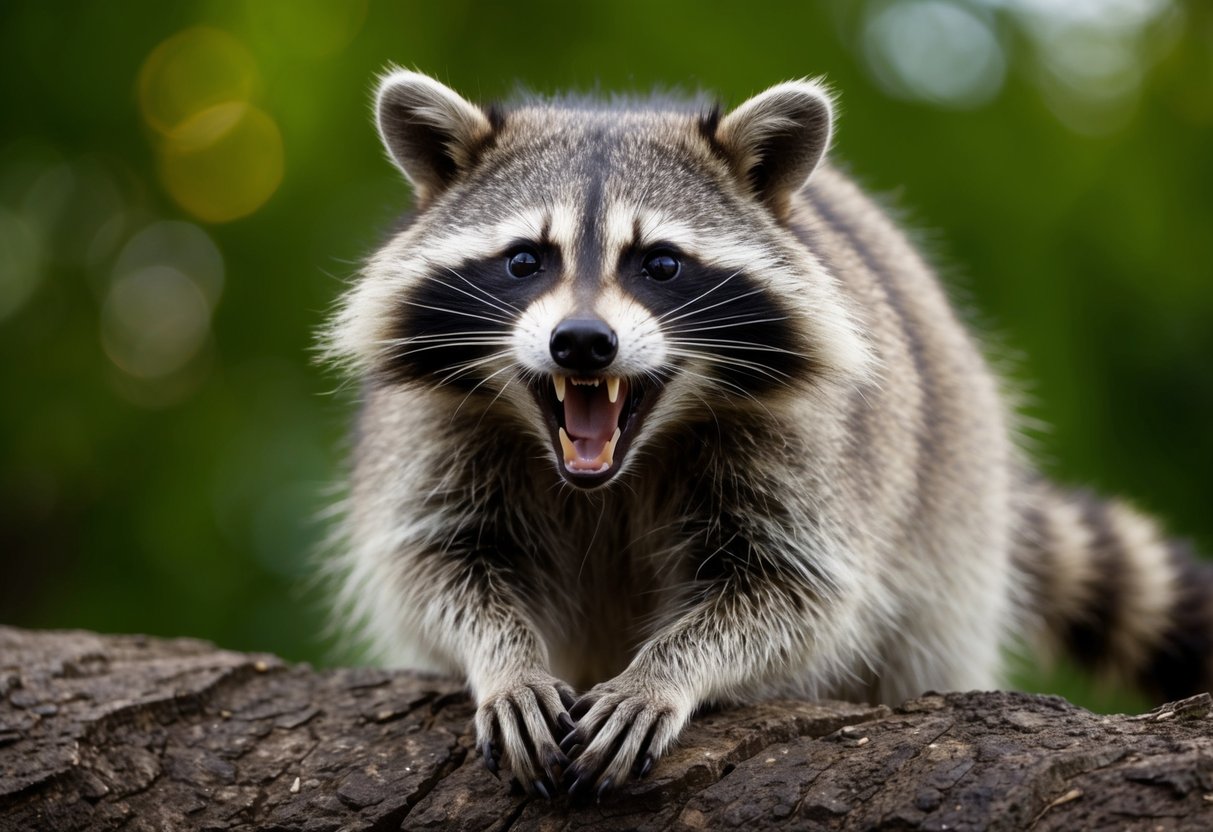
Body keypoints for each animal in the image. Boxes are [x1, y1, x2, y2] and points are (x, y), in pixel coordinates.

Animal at [322, 70, 1213, 799]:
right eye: (523, 260)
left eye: (659, 264)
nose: (581, 343)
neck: (618, 470)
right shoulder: (436, 436)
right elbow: (435, 568)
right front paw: (505, 663)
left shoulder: (810, 453)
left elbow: (793, 594)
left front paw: (663, 675)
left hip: (952, 513)